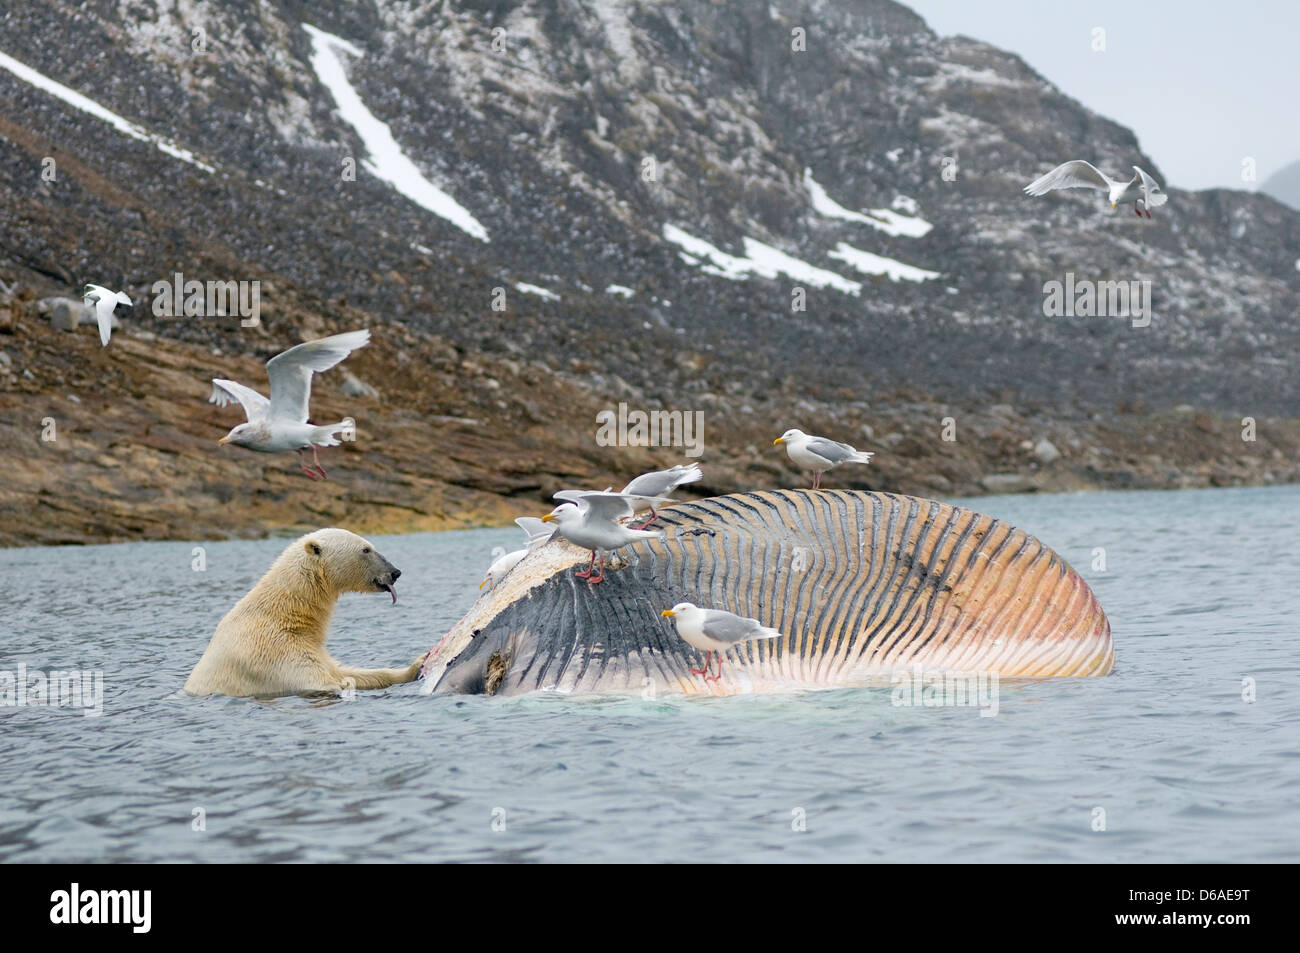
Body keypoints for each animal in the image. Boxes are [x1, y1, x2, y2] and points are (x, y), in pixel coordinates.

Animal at [184, 527, 428, 697]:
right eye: (366, 549)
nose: (395, 572)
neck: (284, 614)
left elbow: (348, 671)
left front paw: (417, 664)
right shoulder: (274, 654)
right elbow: (327, 681)